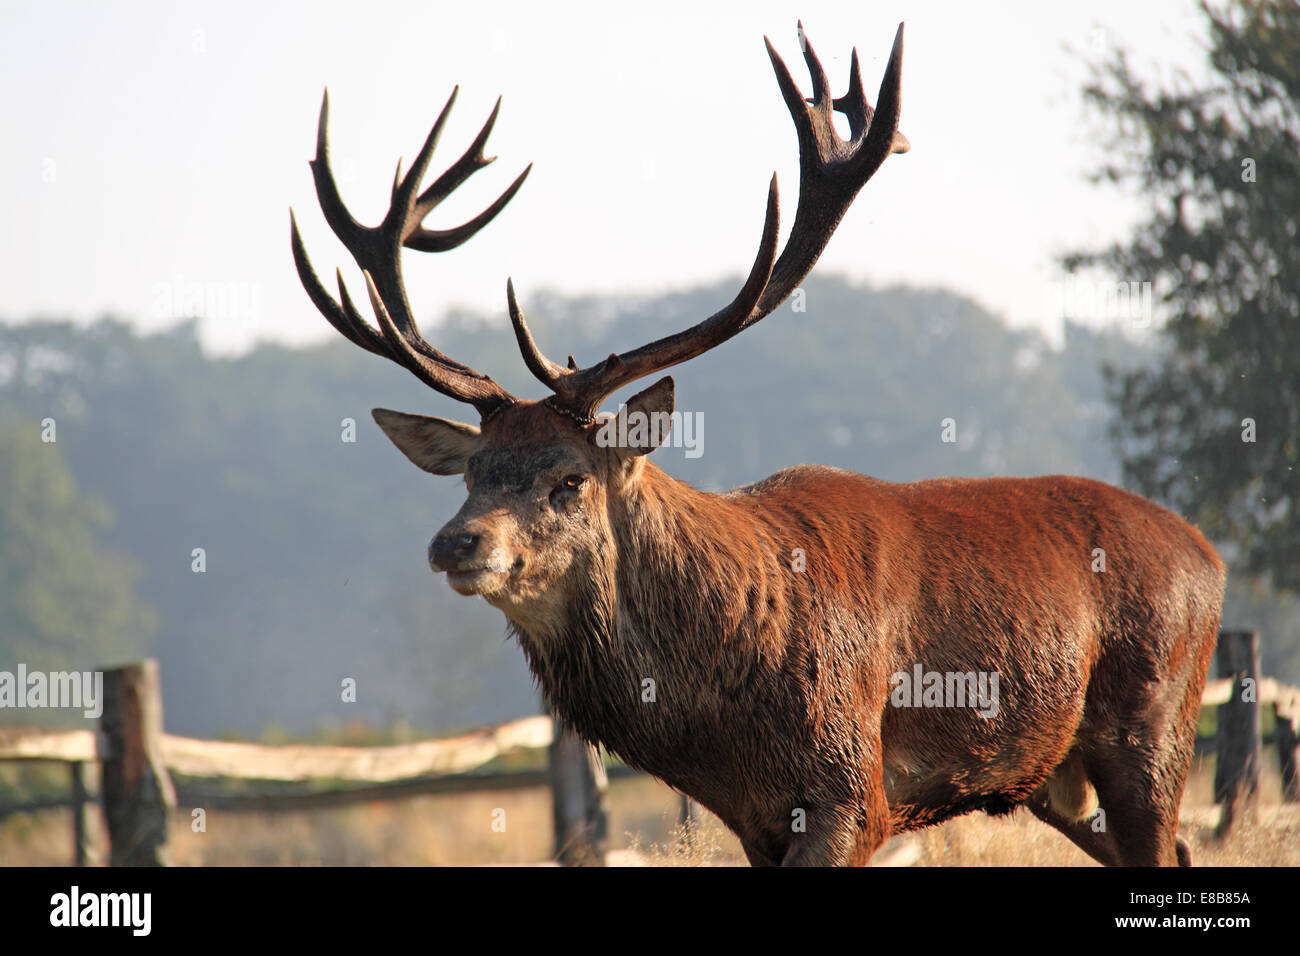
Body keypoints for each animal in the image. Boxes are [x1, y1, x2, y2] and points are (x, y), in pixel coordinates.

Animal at [290, 23, 1225, 866]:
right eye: (471, 474)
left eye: (569, 480)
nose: (457, 543)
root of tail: (1208, 557)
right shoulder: (755, 820)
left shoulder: (855, 792)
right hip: (1062, 779)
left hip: (1155, 723)